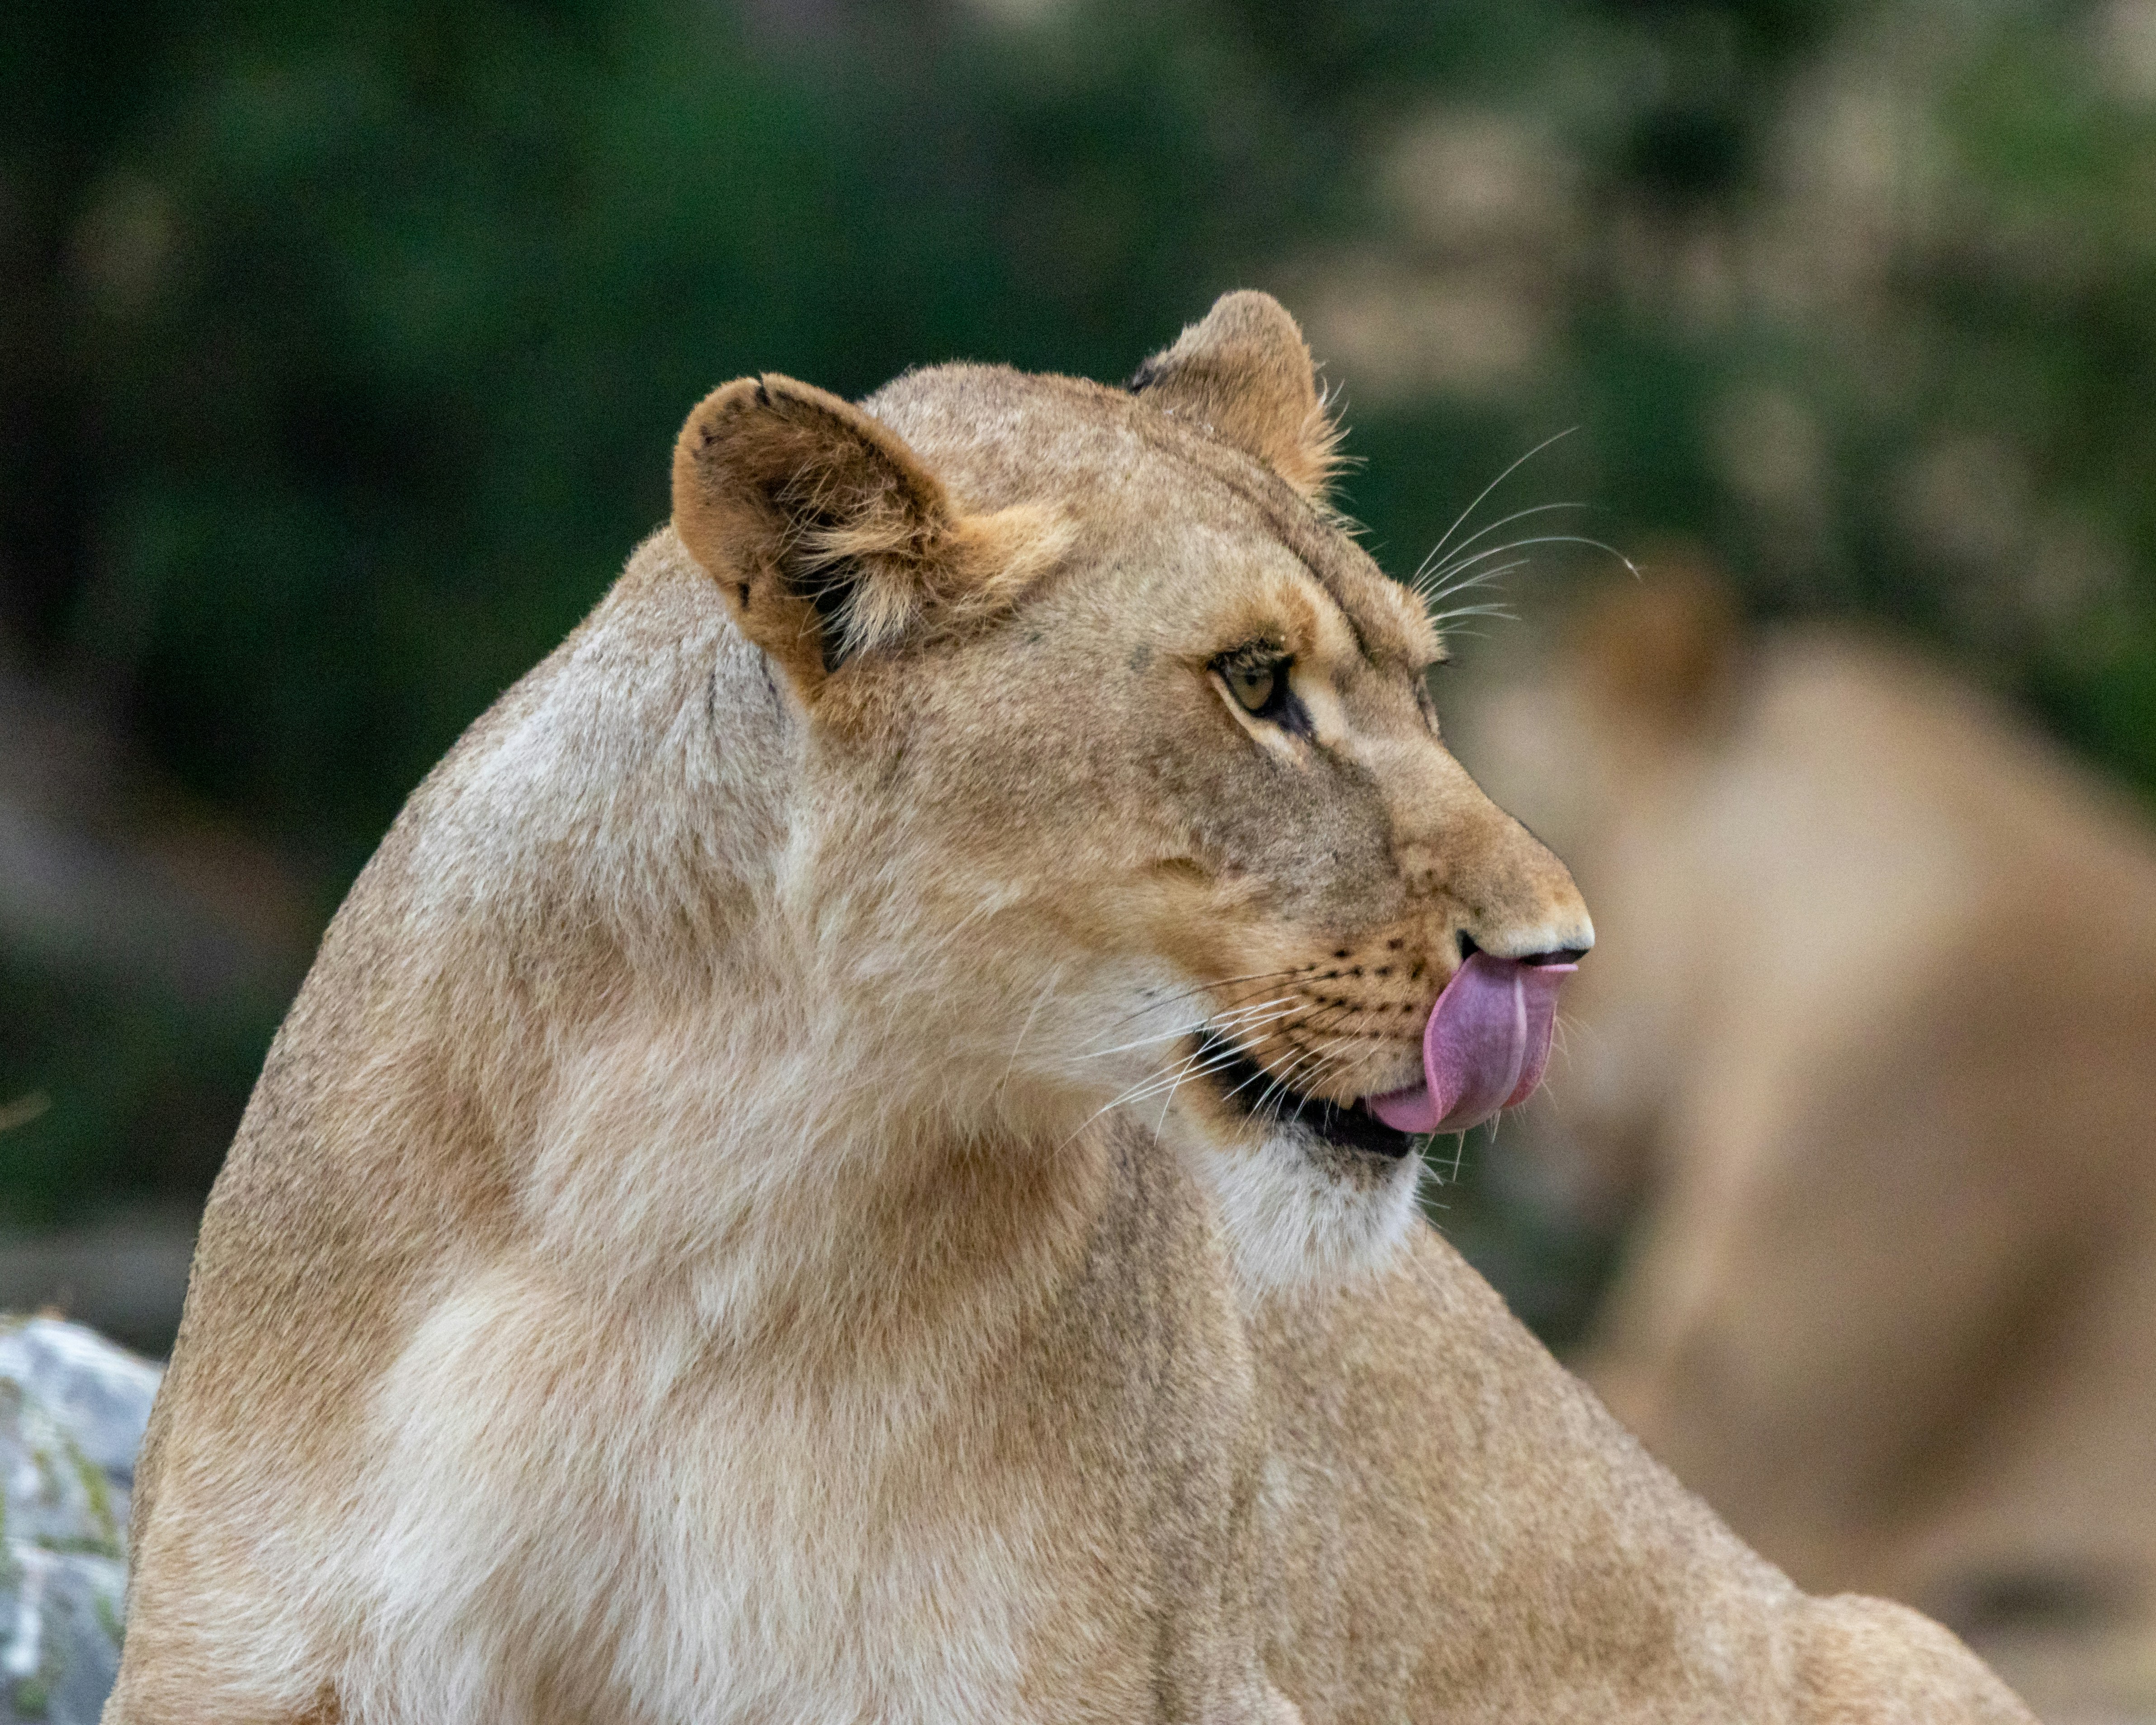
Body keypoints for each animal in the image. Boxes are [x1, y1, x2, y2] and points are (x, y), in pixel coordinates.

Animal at [106, 294, 2029, 1722]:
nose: (1556, 954)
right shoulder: (247, 1652)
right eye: (1254, 684)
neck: (683, 1195)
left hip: (1890, 1638)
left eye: (1418, 680)